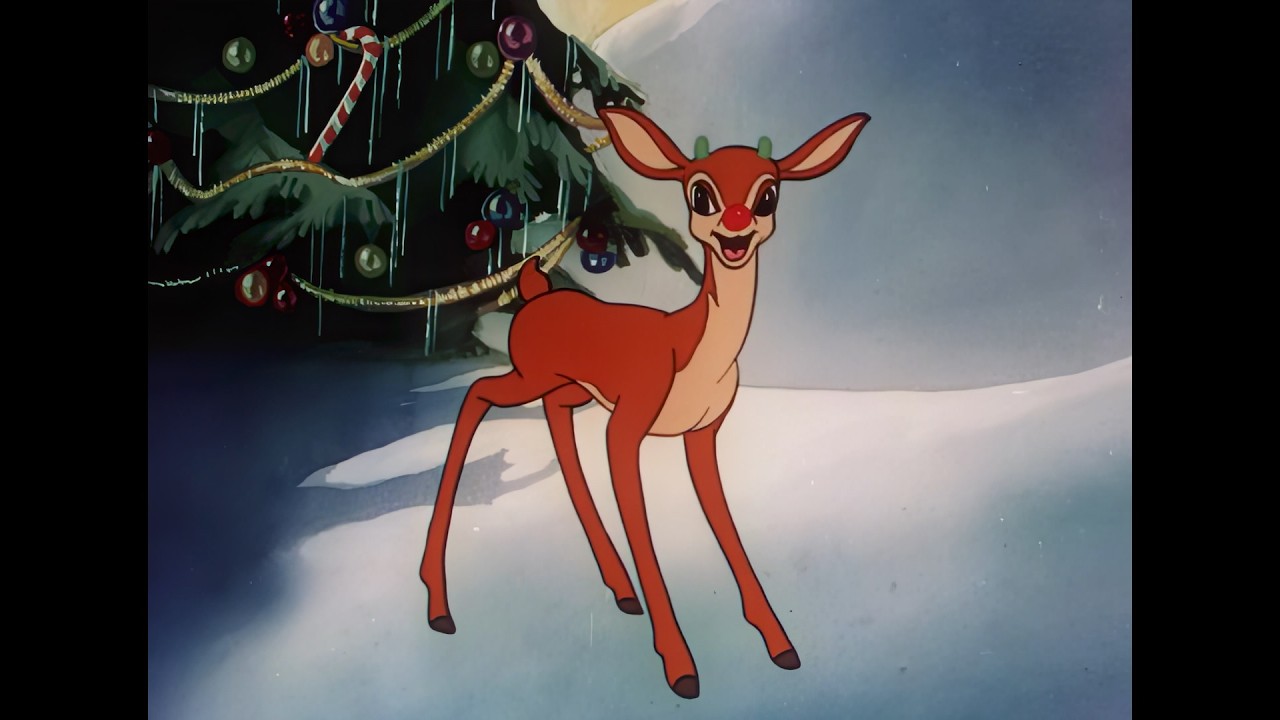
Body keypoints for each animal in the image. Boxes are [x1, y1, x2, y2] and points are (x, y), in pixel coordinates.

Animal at [419, 106, 870, 699]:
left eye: (769, 194)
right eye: (699, 193)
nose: (736, 228)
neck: (693, 348)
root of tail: (537, 292)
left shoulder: (702, 434)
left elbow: (725, 522)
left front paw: (781, 645)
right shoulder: (627, 426)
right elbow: (642, 525)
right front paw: (681, 668)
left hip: (568, 388)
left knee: (553, 419)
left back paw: (620, 590)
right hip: (529, 377)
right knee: (475, 396)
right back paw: (438, 605)